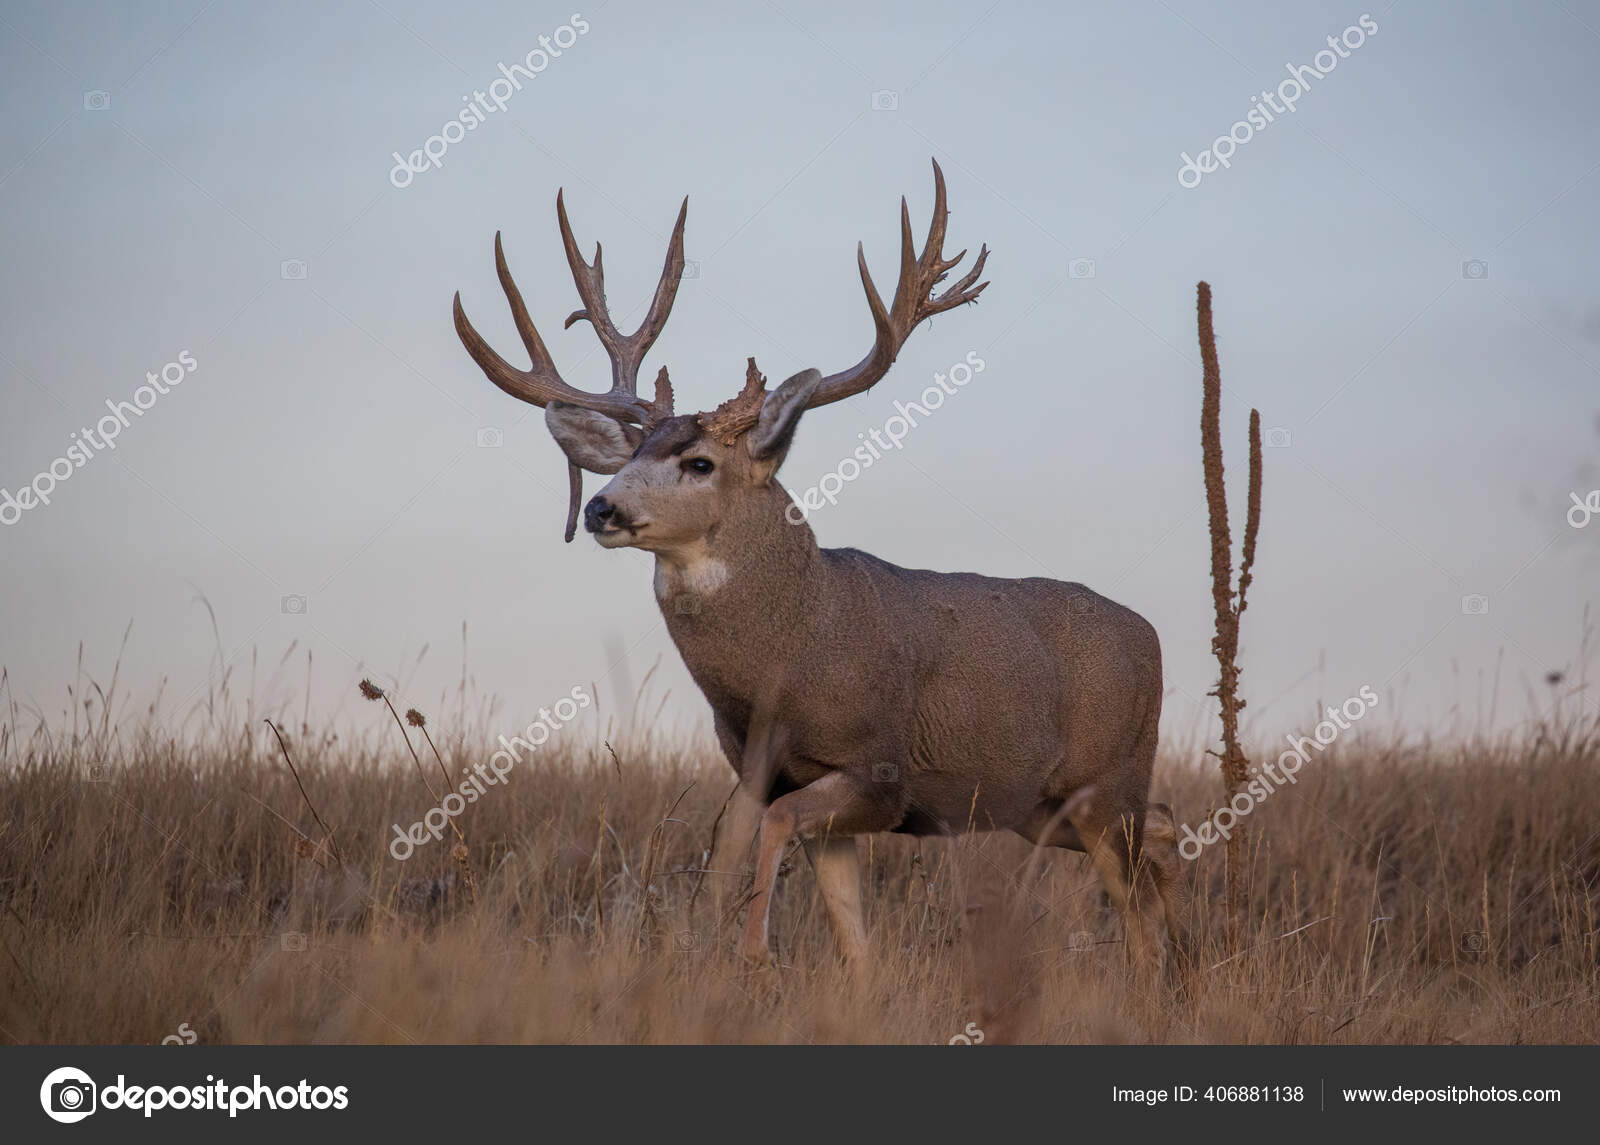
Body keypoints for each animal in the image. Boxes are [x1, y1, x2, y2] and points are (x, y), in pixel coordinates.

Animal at [453, 160, 1188, 970]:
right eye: (632, 454)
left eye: (699, 461)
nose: (600, 508)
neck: (790, 657)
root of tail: (1150, 635)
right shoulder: (759, 768)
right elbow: (805, 902)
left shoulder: (879, 771)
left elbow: (773, 834)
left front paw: (752, 951)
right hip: (1044, 807)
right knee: (1164, 829)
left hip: (1106, 780)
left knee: (1142, 881)